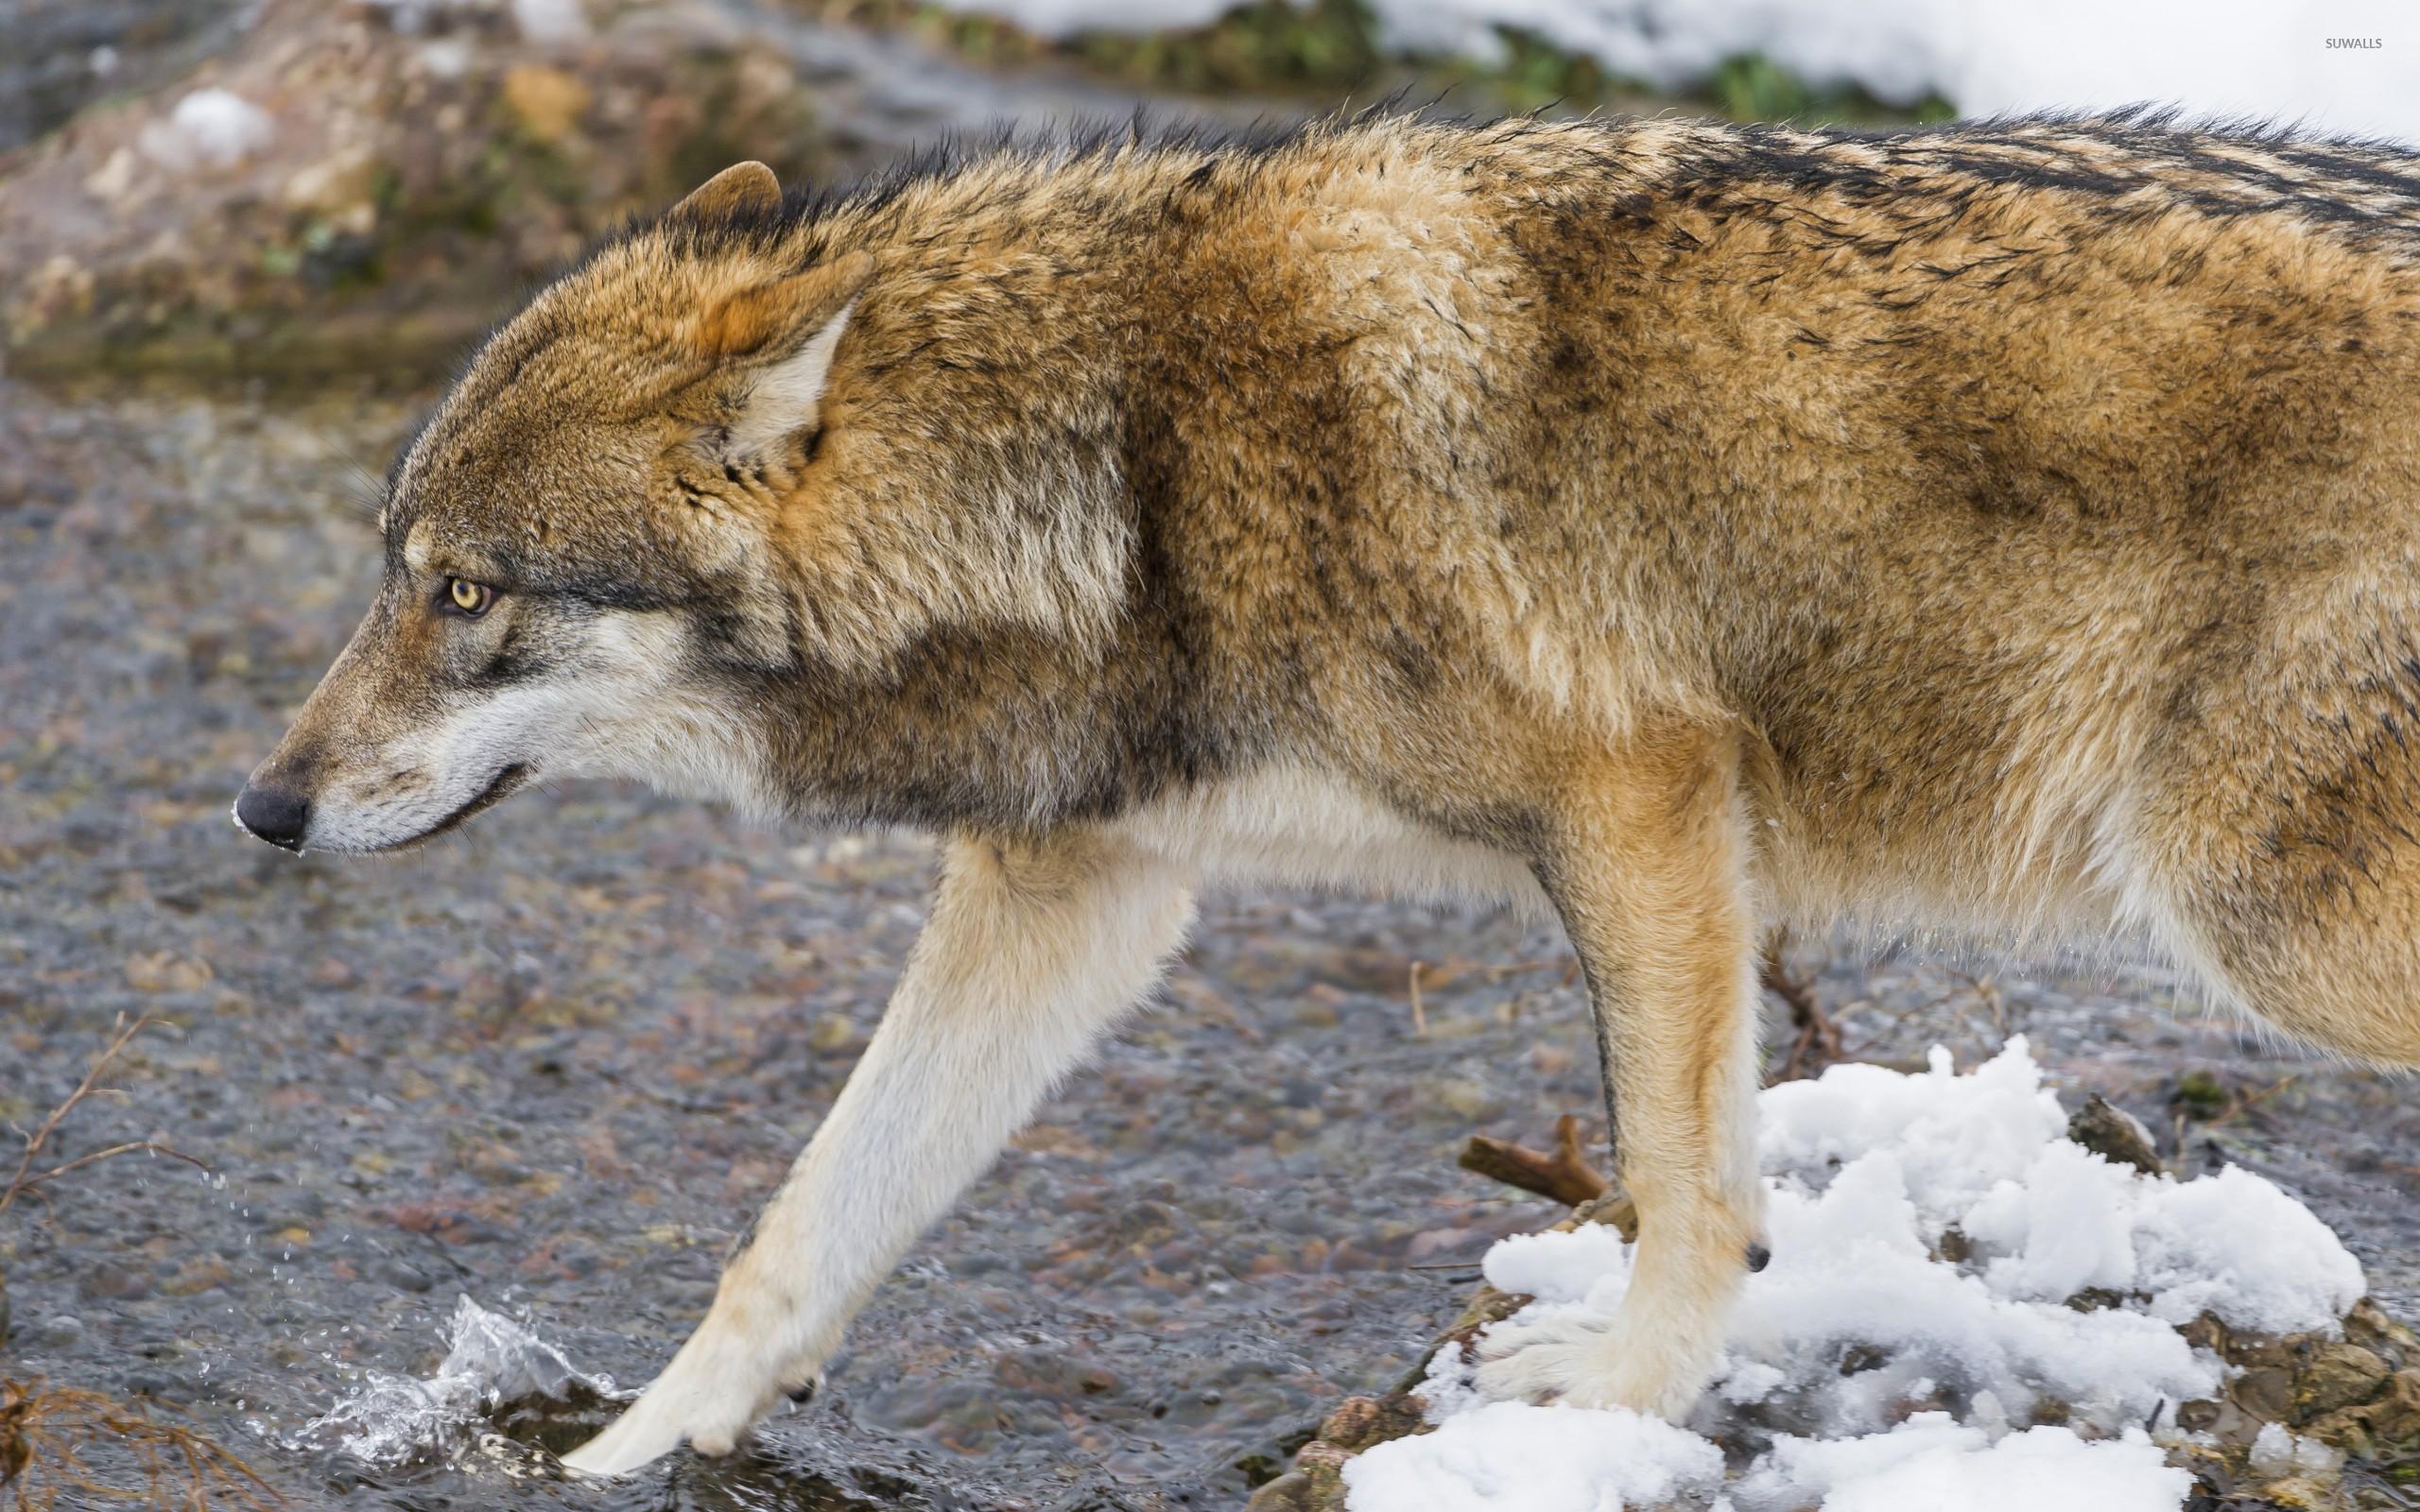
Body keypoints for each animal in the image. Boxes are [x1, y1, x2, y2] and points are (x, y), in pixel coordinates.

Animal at [235, 108, 2420, 1474]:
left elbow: (1689, 1186)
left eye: (466, 594)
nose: (262, 811)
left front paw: (1605, 1405)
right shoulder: (1078, 888)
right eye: (389, 569)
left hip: (2255, 912)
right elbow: (802, 1226)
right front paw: (623, 1449)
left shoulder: (1640, 800)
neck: (1129, 466)